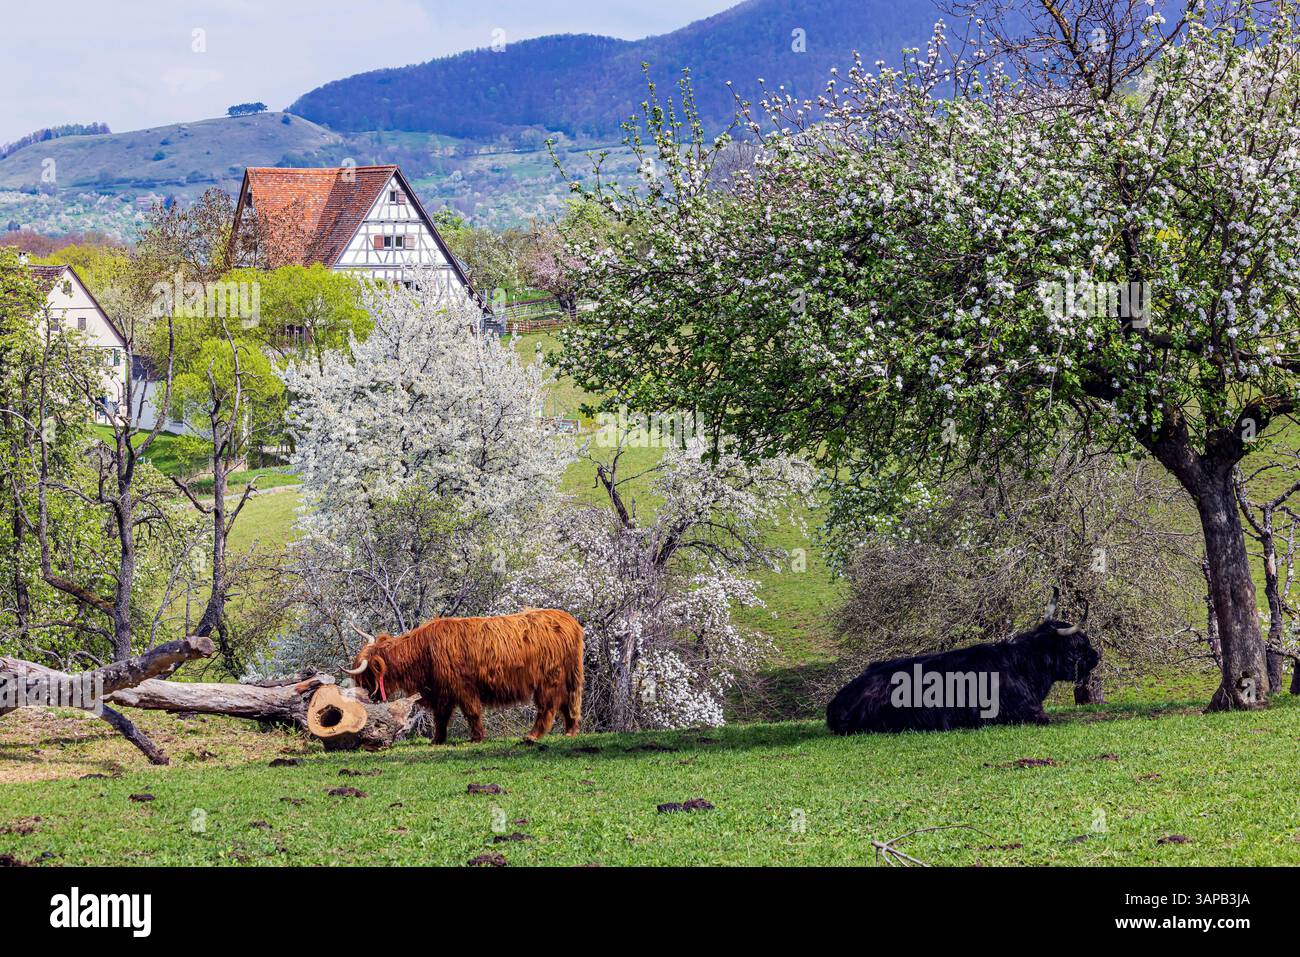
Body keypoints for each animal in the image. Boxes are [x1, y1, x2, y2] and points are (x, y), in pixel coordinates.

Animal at [344, 608, 584, 744]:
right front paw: (437, 740)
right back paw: (570, 732)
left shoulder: (462, 686)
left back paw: (532, 736)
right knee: (569, 704)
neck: (424, 651)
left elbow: (471, 712)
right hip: (568, 677)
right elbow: (441, 716)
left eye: (366, 675)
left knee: (548, 707)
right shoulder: (441, 691)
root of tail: (569, 621)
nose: (367, 697)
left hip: (548, 680)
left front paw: (477, 737)